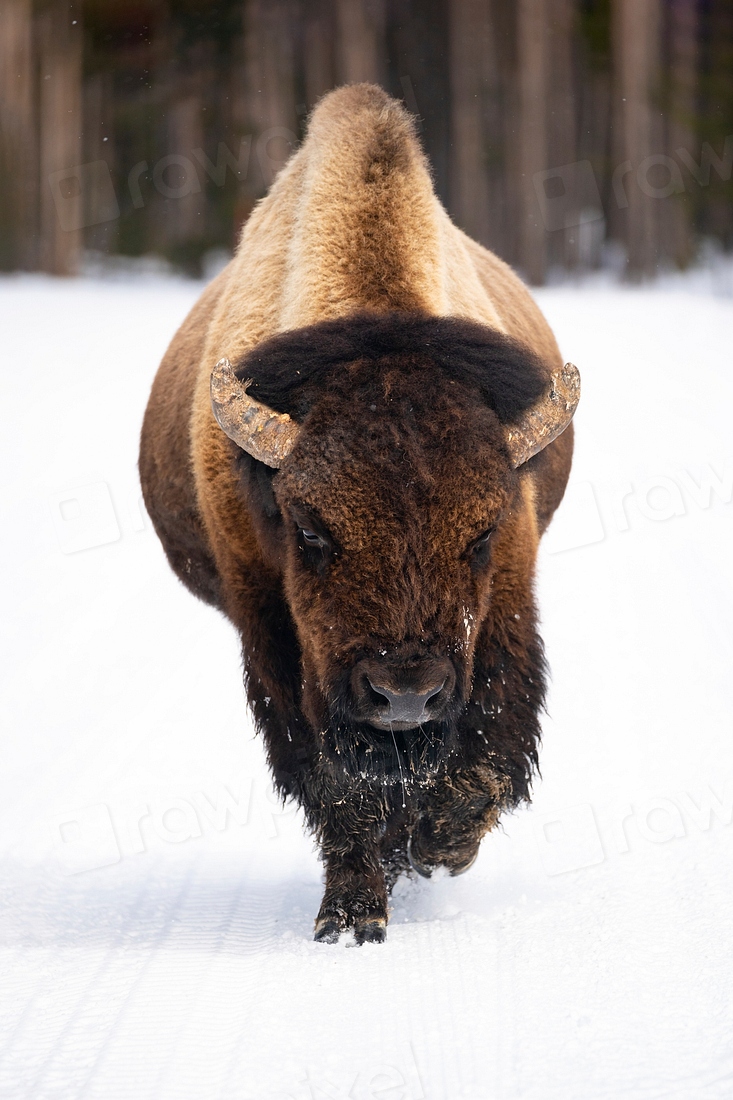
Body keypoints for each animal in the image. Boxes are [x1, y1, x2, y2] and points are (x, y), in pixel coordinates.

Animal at [139, 84, 579, 944]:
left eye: (480, 533)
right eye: (309, 530)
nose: (403, 694)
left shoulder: (505, 602)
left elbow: (484, 755)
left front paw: (438, 850)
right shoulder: (273, 631)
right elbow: (331, 779)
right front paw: (350, 918)